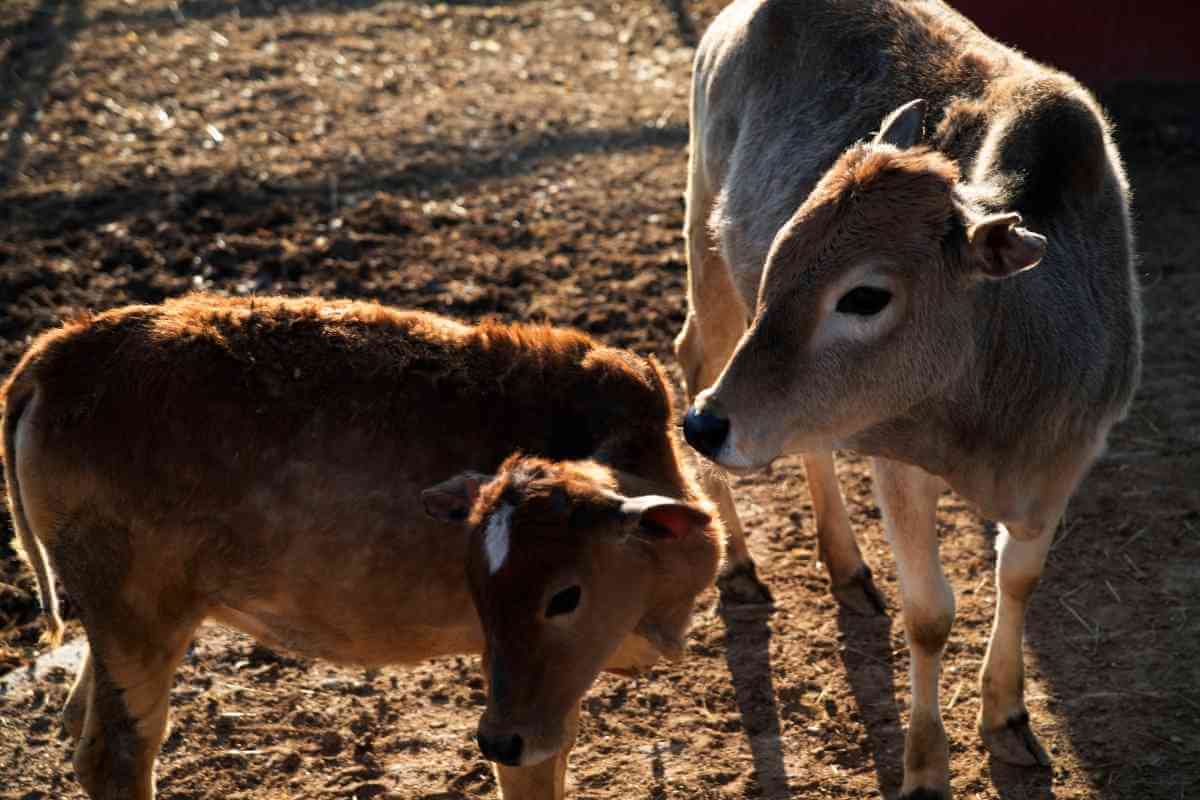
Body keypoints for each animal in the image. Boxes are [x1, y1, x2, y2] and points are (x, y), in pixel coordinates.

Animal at [2, 294, 723, 800]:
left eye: (566, 596)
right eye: (481, 591)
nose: (497, 737)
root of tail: (57, 355)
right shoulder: (524, 710)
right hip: (139, 617)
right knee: (119, 754)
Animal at [674, 1, 1141, 797]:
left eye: (865, 296)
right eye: (780, 262)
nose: (707, 424)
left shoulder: (1067, 460)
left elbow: (1019, 577)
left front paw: (1008, 718)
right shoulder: (899, 460)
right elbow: (930, 615)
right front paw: (924, 765)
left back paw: (846, 566)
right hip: (705, 247)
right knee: (688, 355)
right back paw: (738, 563)